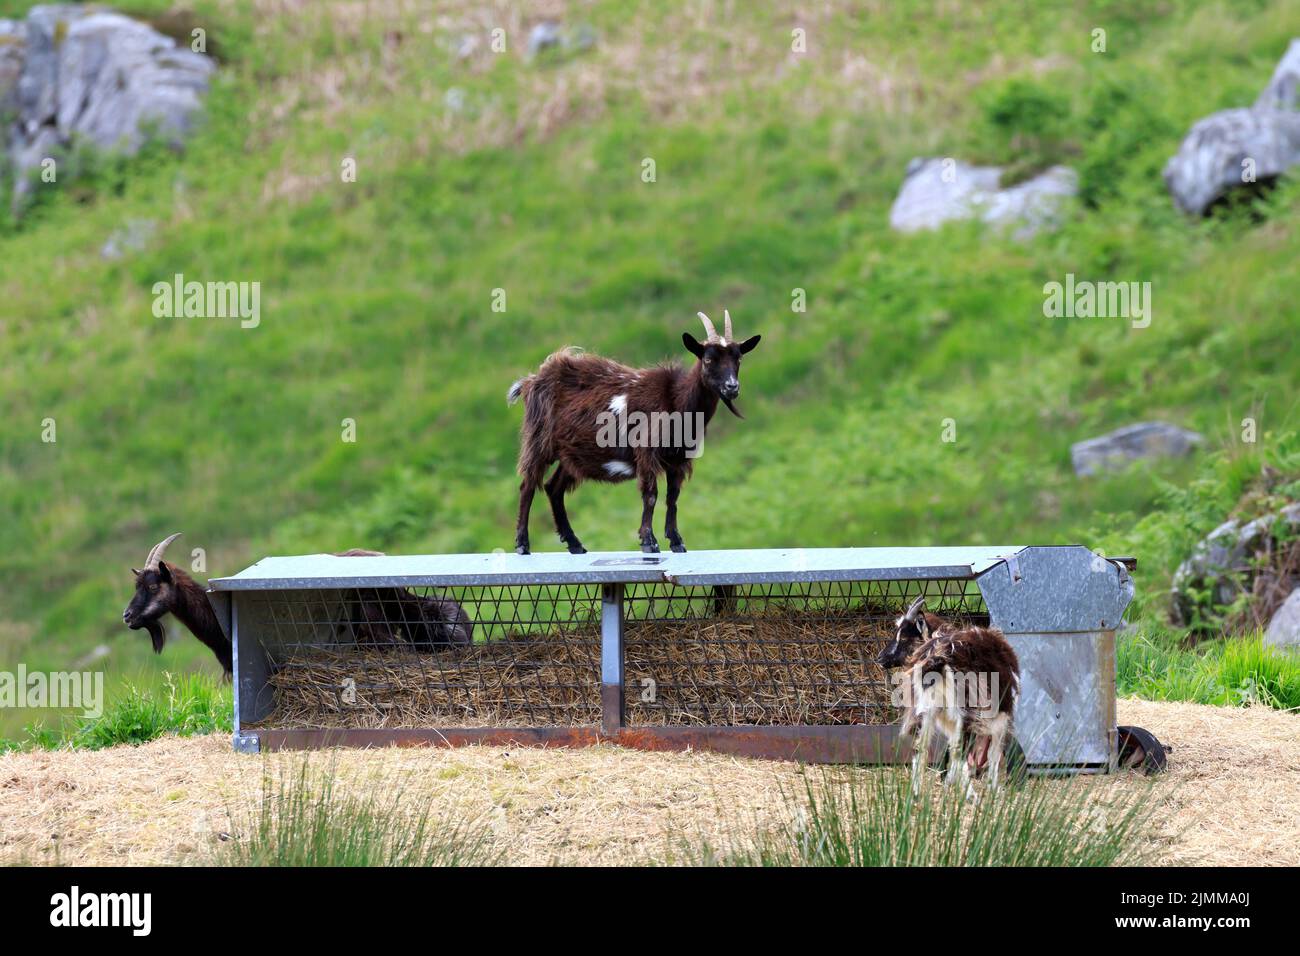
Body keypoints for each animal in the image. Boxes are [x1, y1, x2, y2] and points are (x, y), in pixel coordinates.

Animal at [507, 310, 761, 554]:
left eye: (738, 358)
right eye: (708, 359)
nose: (732, 387)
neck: (675, 400)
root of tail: (532, 379)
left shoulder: (679, 458)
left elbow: (673, 497)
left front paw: (676, 541)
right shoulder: (647, 451)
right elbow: (651, 494)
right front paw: (649, 541)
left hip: (571, 454)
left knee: (553, 488)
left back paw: (574, 544)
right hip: (539, 439)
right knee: (528, 485)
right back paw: (522, 544)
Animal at [876, 597, 1020, 798]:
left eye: (903, 637)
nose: (880, 658)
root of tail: (936, 659)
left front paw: (948, 782)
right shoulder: (1001, 714)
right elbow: (993, 752)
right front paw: (993, 789)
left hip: (926, 711)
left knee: (920, 750)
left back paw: (916, 794)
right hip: (964, 712)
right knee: (961, 753)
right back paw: (972, 796)